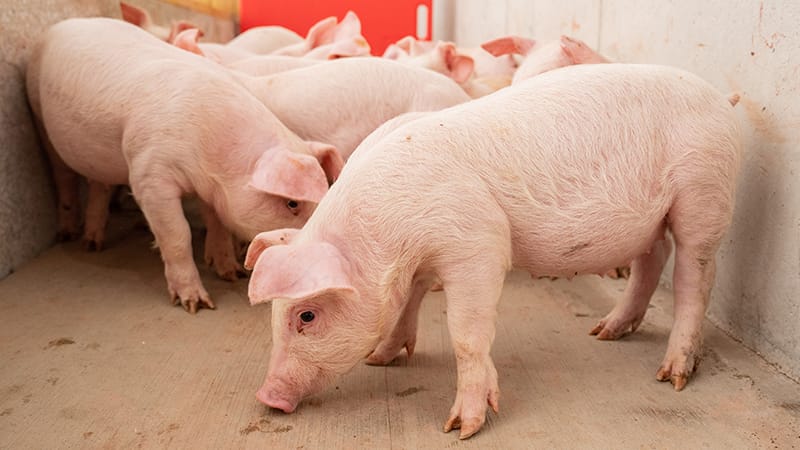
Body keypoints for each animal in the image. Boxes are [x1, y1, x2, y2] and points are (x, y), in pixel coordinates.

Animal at [27, 18, 343, 313]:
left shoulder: (212, 190)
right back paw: (69, 234)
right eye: (292, 203)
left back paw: (93, 244)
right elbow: (178, 235)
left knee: (99, 185)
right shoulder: (149, 176)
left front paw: (231, 273)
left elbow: (216, 221)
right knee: (63, 176)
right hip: (38, 114)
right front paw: (197, 304)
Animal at [243, 63, 741, 438]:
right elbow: (410, 299)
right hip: (651, 221)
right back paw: (604, 333)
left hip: (703, 192)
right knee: (652, 259)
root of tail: (722, 99)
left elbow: (467, 335)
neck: (388, 235)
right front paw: (381, 357)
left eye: (306, 315)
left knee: (696, 276)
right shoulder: (424, 258)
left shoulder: (476, 243)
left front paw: (462, 428)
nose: (267, 396)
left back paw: (672, 376)